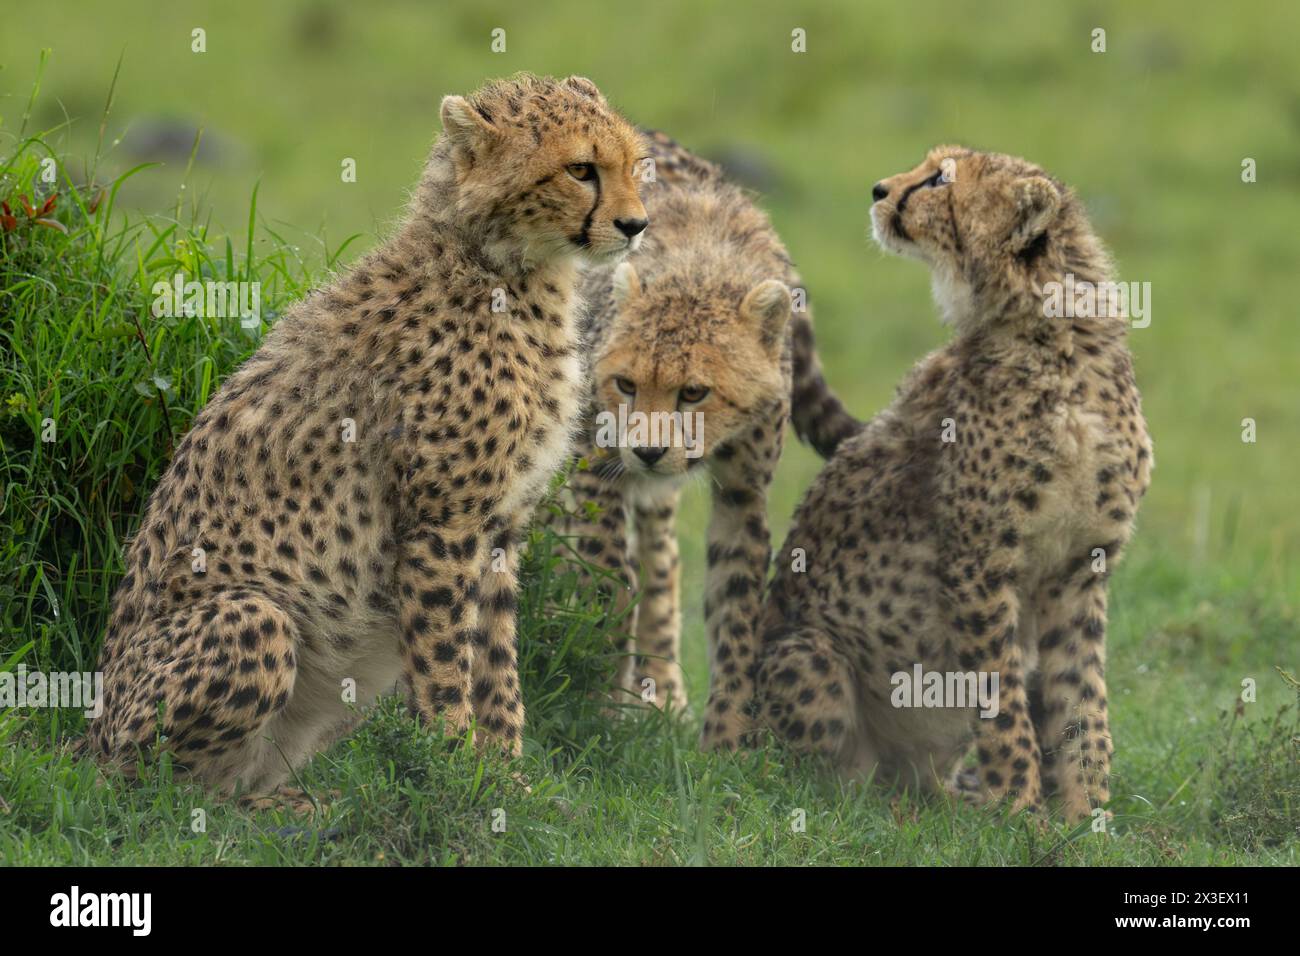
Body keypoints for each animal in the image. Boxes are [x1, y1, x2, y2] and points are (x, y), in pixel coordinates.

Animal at [753, 145, 1153, 822]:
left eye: (940, 180)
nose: (878, 189)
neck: (1057, 338)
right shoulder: (977, 563)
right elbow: (1002, 699)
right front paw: (1020, 811)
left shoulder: (1080, 569)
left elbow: (1083, 698)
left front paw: (1089, 815)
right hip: (808, 656)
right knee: (816, 782)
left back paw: (950, 802)